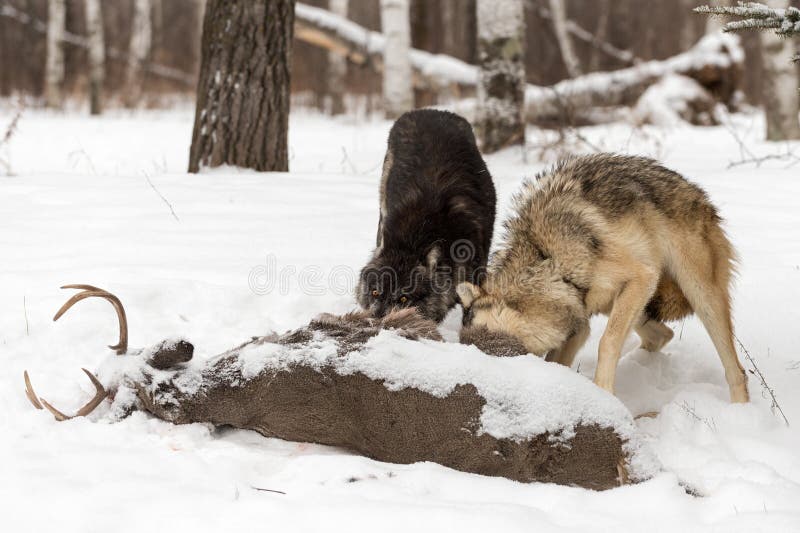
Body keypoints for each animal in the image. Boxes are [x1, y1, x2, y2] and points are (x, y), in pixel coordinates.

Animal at [456, 154, 749, 403]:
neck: (548, 260)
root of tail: (697, 192)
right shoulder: (579, 321)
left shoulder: (641, 276)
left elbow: (607, 342)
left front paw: (603, 393)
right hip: (630, 305)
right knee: (662, 335)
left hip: (698, 295)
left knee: (736, 370)